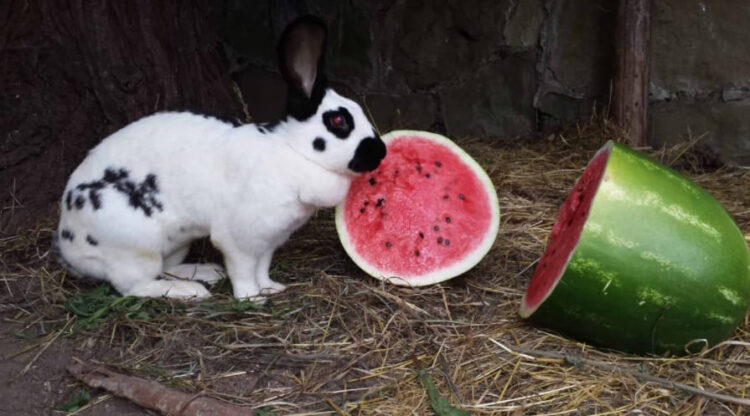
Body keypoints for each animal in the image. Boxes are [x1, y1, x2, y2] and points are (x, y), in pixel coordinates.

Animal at [54, 15, 386, 301]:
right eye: (339, 121)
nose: (380, 152)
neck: (293, 151)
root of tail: (69, 246)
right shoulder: (240, 239)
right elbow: (243, 270)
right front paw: (251, 298)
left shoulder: (269, 242)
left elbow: (262, 268)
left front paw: (270, 287)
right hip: (135, 247)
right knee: (136, 286)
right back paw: (191, 292)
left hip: (176, 243)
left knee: (167, 268)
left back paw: (205, 273)